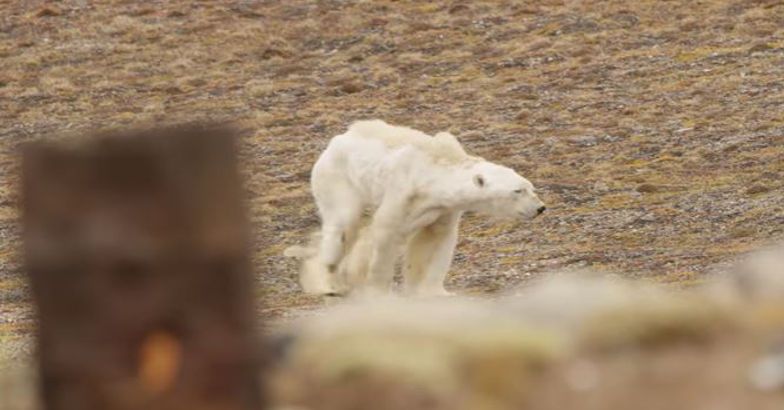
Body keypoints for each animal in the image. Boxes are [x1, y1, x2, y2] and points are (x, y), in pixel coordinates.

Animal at [286, 119, 546, 296]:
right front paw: (378, 290)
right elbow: (386, 233)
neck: (432, 172)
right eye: (517, 191)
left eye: (531, 187)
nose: (540, 208)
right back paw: (331, 282)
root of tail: (332, 144)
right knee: (343, 225)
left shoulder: (443, 208)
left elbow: (435, 241)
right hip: (339, 179)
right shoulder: (403, 190)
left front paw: (436, 292)